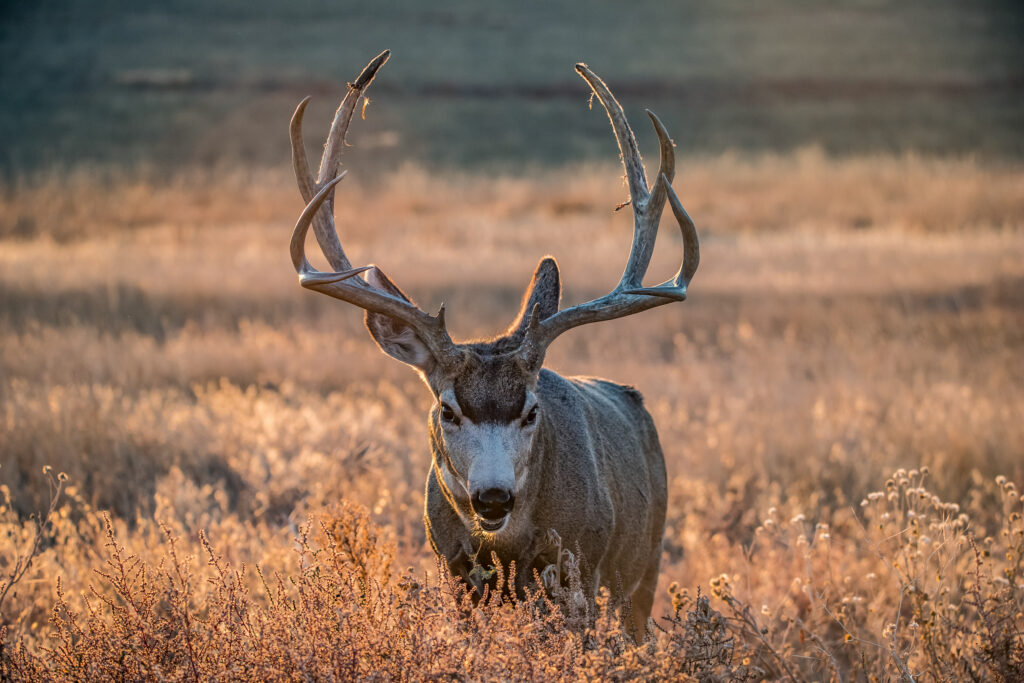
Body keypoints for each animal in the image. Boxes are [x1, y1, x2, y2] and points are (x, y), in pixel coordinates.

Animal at [287, 50, 699, 641]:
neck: (506, 549)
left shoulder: (582, 572)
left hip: (647, 562)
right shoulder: (453, 571)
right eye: (447, 409)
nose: (493, 496)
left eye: (531, 411)